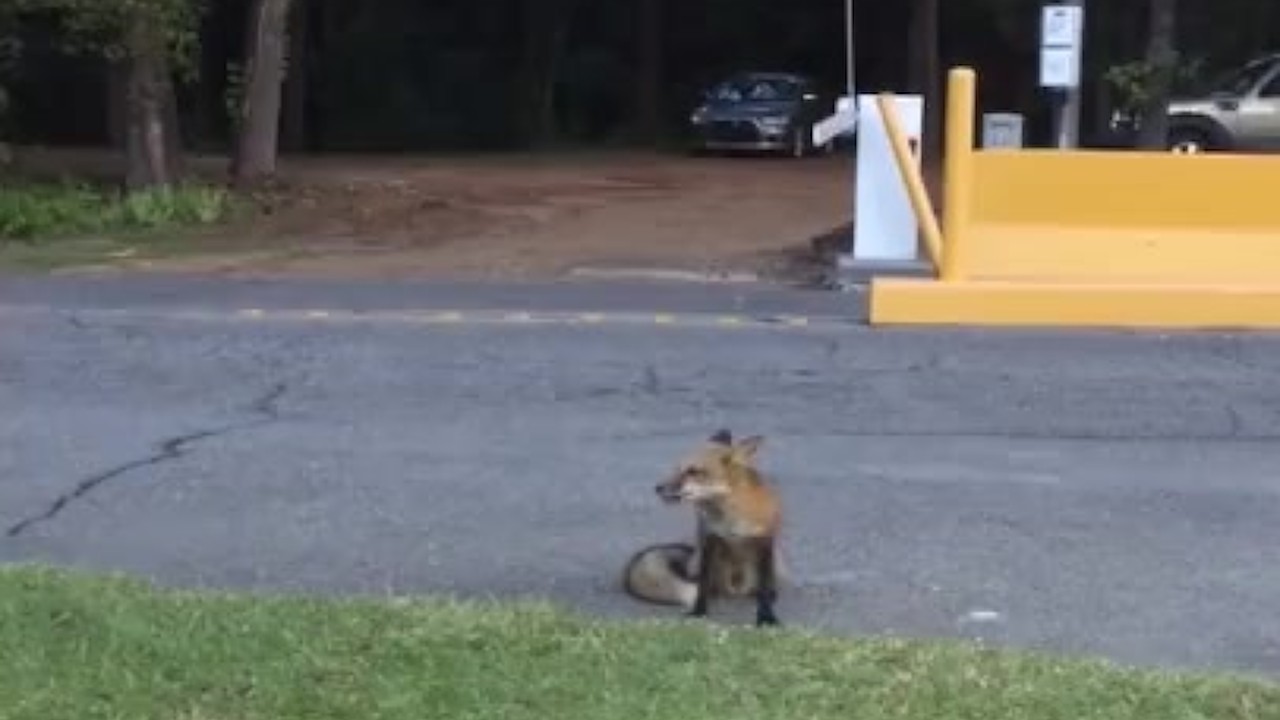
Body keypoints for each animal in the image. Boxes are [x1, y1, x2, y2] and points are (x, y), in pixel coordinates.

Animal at [621, 429, 784, 627]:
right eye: (677, 469)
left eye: (693, 471)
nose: (658, 488)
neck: (730, 520)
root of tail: (735, 590)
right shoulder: (709, 539)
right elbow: (702, 587)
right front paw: (699, 613)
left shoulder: (765, 542)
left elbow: (764, 590)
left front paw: (766, 617)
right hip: (698, 561)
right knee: (705, 585)